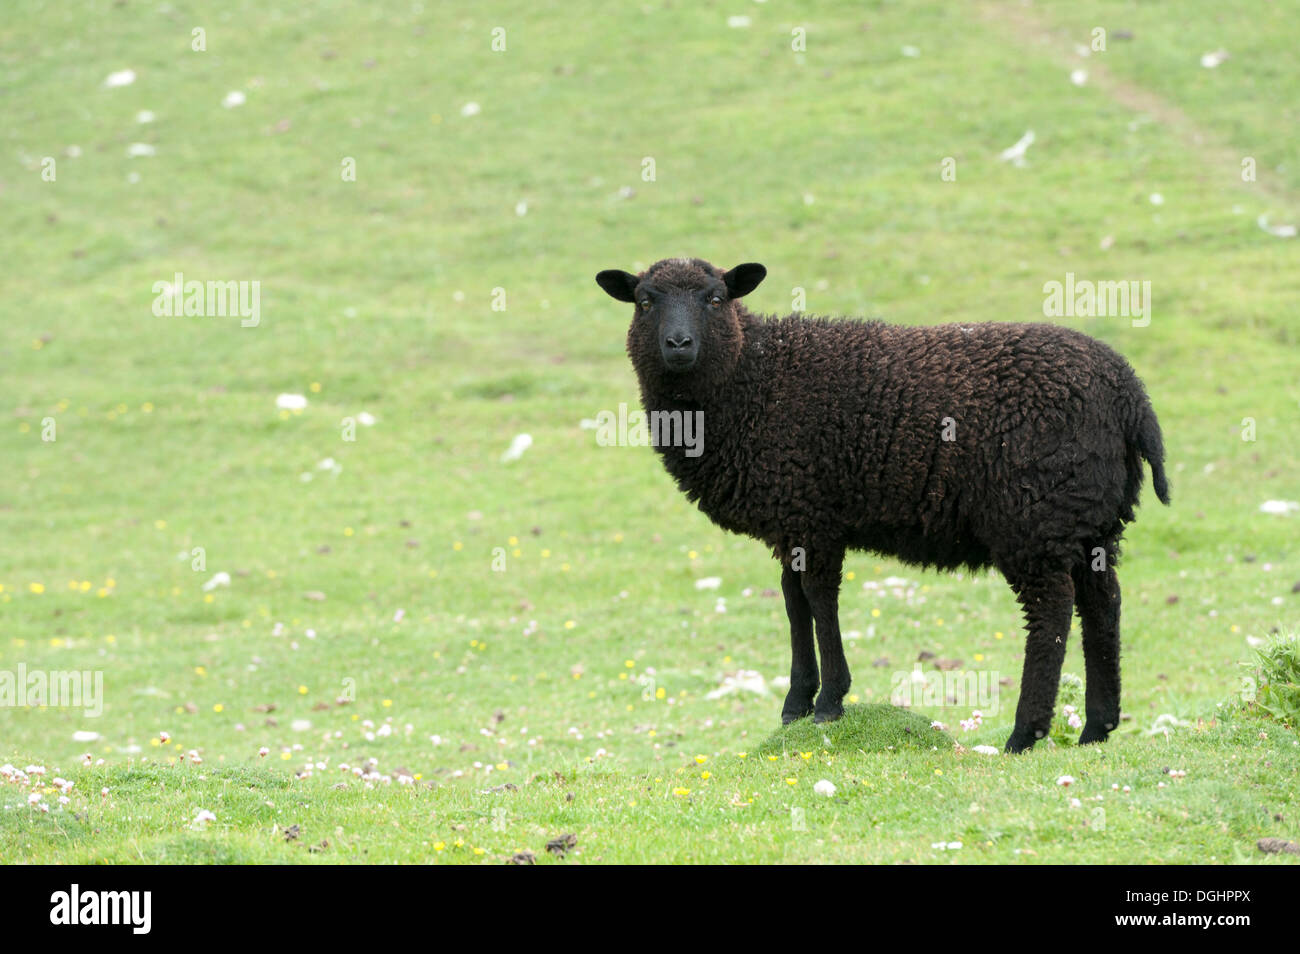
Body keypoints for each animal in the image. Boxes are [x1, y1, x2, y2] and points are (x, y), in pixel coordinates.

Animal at [595, 256, 1170, 753]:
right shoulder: (791, 517)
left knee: (1051, 610)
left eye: (716, 299)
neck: (750, 377)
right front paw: (795, 704)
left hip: (1034, 515)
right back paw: (1096, 729)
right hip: (1091, 520)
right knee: (1103, 605)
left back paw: (1024, 735)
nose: (679, 344)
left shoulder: (814, 514)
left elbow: (819, 599)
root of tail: (1129, 393)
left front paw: (829, 702)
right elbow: (793, 601)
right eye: (644, 302)